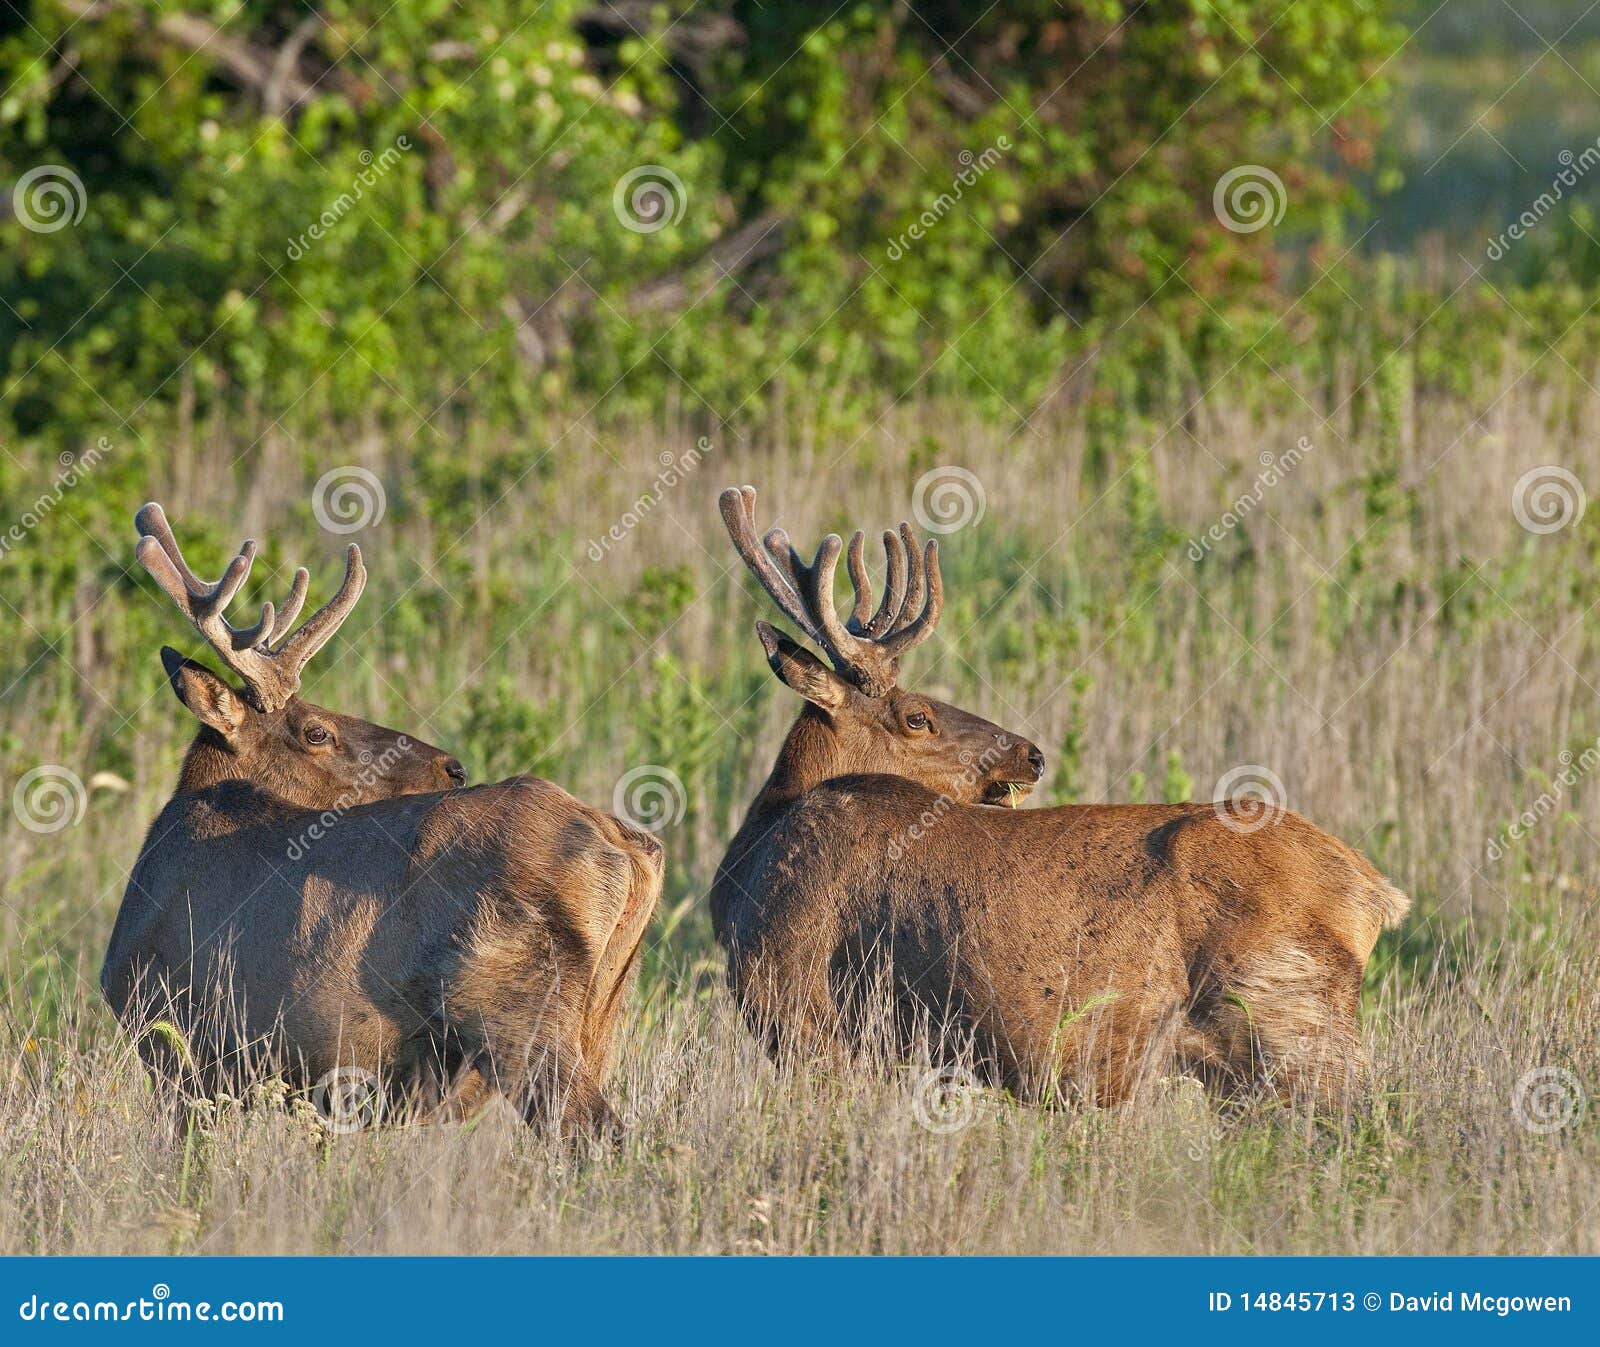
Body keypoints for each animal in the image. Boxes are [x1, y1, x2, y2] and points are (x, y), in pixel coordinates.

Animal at [102, 504, 663, 1136]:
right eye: (316, 731)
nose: (453, 766)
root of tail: (628, 850)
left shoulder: (180, 1049)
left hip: (515, 1008)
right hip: (601, 1017)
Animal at [711, 485, 1410, 1111]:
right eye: (917, 717)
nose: (1032, 753)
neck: (747, 869)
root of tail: (1375, 893)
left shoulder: (812, 1018)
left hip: (1290, 1022)